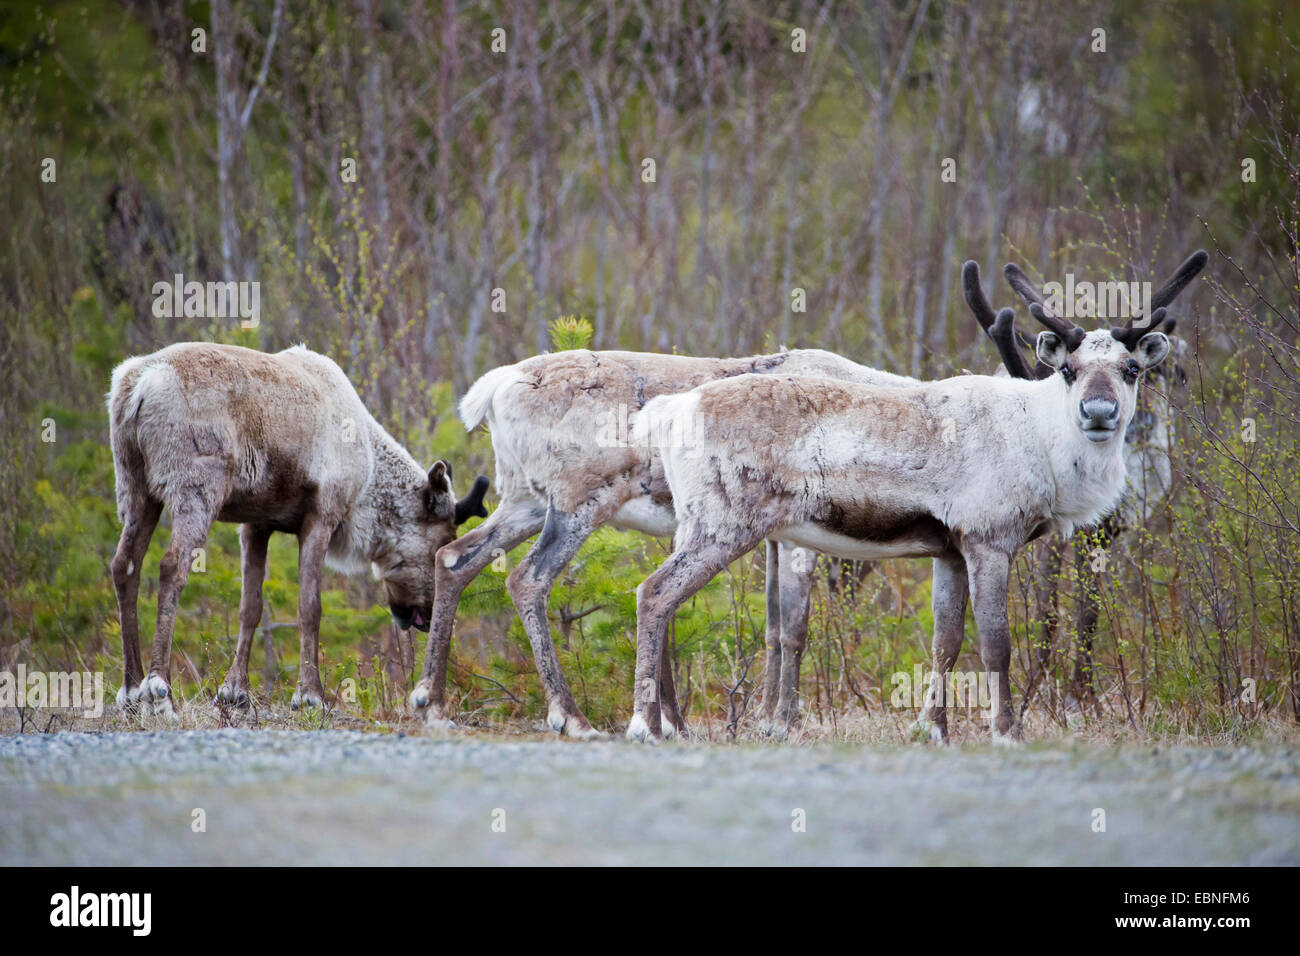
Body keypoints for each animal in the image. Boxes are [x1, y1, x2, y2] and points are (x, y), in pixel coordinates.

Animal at [107, 342, 490, 719]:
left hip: (134, 485)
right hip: (196, 487)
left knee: (124, 565)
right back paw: (160, 691)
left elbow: (251, 607)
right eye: (442, 541)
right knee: (171, 567)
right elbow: (310, 606)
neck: (367, 479)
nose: (426, 614)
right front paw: (310, 696)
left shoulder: (255, 523)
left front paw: (234, 692)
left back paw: (131, 689)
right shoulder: (322, 515)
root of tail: (140, 386)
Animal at [408, 348, 924, 738]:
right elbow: (795, 629)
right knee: (527, 580)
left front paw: (762, 719)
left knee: (455, 557)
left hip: (524, 500)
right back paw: (572, 717)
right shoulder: (799, 537)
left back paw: (433, 702)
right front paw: (784, 723)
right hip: (578, 502)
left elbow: (773, 628)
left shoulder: (775, 536)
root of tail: (496, 388)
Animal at [626, 266, 1176, 743]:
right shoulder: (989, 540)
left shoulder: (949, 551)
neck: (1039, 436)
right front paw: (1007, 731)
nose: (1099, 413)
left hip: (699, 526)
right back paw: (644, 726)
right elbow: (995, 644)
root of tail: (671, 409)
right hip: (723, 525)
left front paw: (933, 730)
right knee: (654, 592)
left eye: (1131, 369)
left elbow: (946, 642)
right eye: (1067, 369)